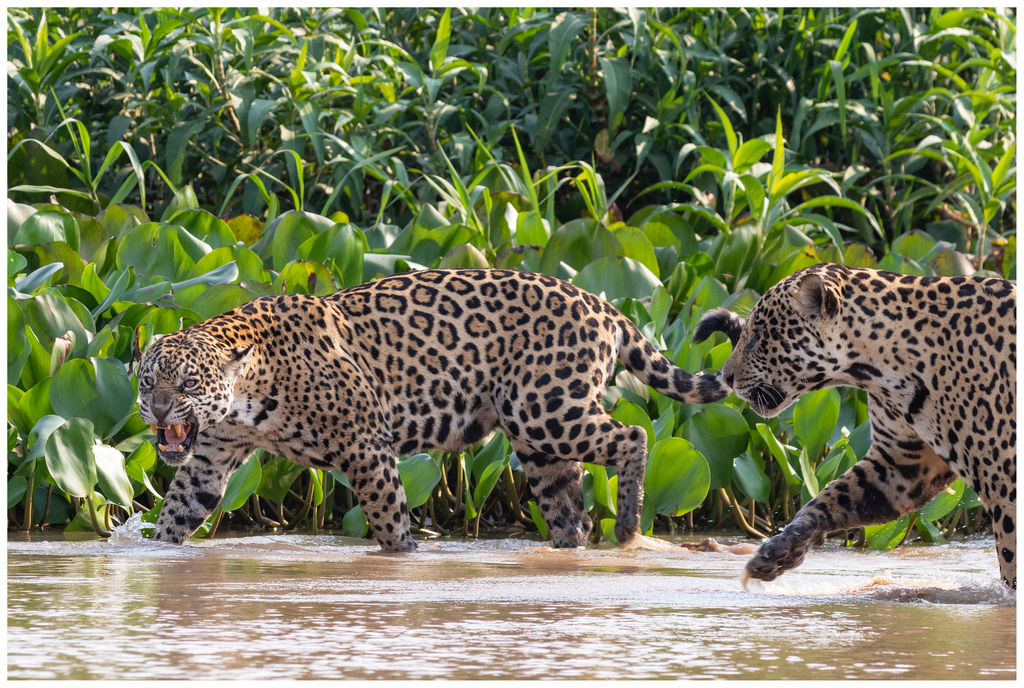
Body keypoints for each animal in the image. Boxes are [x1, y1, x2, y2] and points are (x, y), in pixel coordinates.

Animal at [137, 268, 729, 551]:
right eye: (147, 383)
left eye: (187, 383)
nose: (160, 413)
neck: (246, 394)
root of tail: (603, 303)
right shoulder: (212, 456)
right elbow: (176, 511)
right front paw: (150, 556)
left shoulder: (365, 445)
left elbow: (390, 519)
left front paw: (404, 559)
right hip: (537, 442)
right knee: (570, 512)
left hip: (548, 410)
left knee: (635, 435)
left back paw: (628, 524)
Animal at [694, 263, 1016, 589]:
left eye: (759, 336)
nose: (727, 376)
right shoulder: (901, 463)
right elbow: (832, 496)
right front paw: (778, 551)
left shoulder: (1006, 485)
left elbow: (1010, 557)